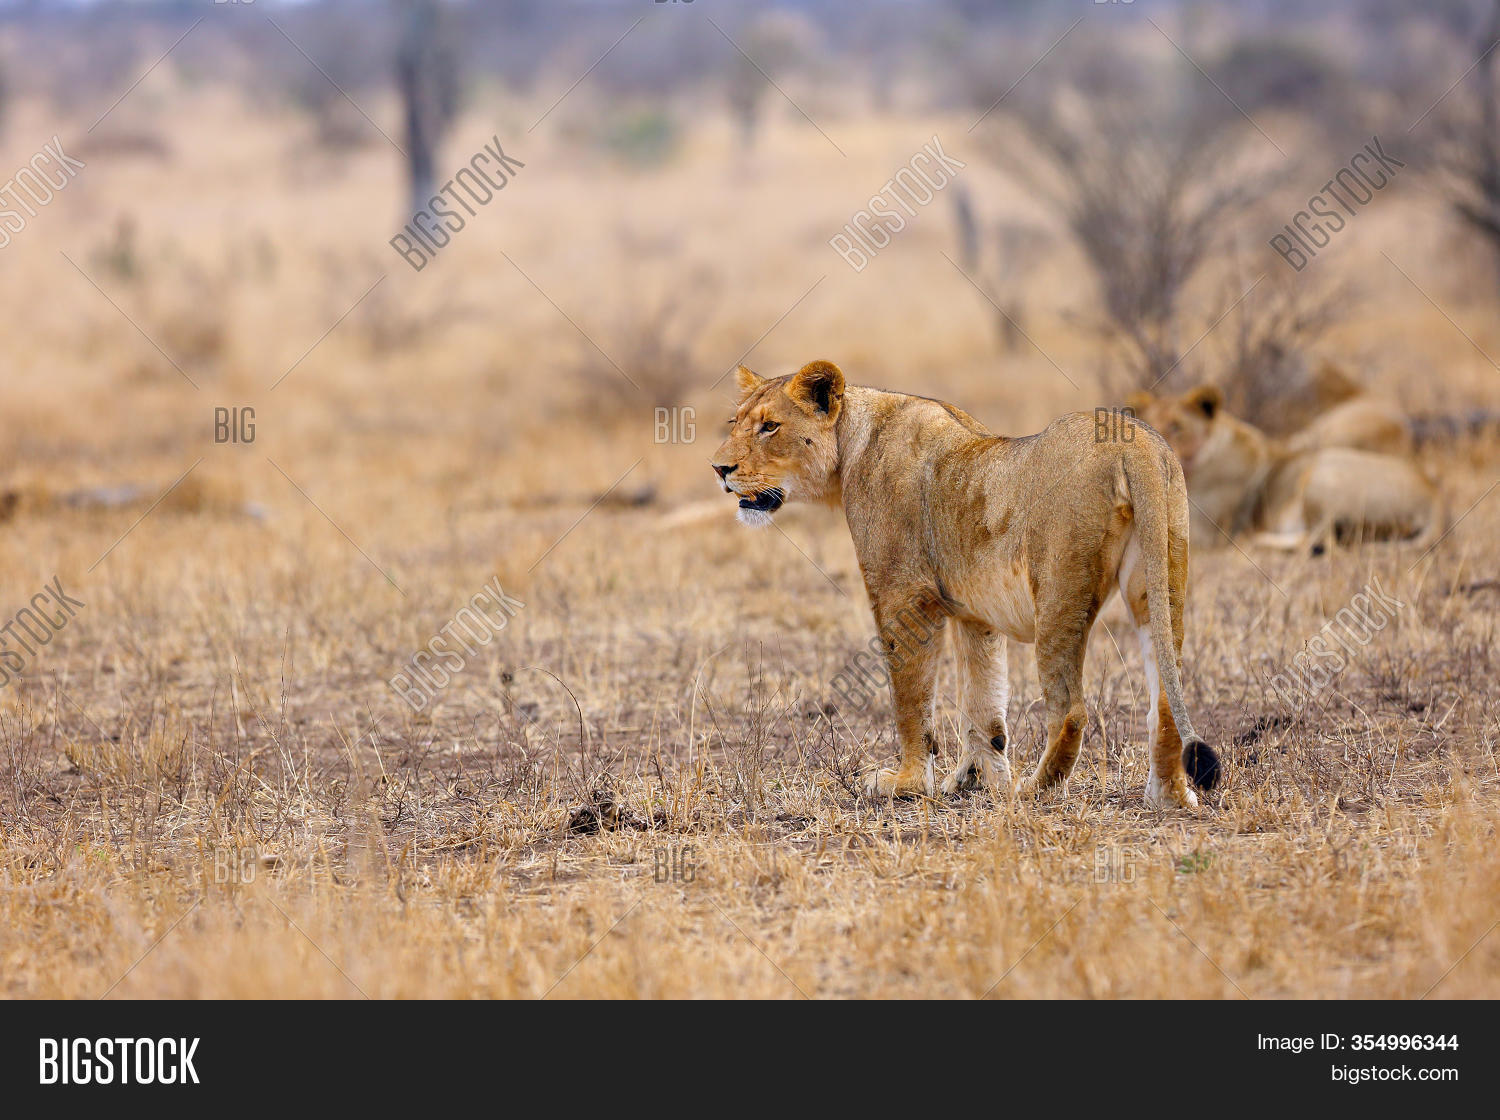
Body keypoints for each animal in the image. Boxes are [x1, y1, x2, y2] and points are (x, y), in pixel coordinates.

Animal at [711, 360, 1220, 808]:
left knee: (1071, 710)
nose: (719, 469)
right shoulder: (976, 614)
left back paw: (1033, 792)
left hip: (1059, 591)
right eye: (735, 422)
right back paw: (1170, 797)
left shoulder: (903, 594)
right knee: (1165, 698)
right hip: (1158, 581)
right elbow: (983, 707)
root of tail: (1134, 443)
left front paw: (906, 783)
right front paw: (976, 780)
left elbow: (911, 699)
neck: (850, 446)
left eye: (770, 426)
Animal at [1127, 385, 1440, 552]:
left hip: (1320, 473)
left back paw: (1255, 540)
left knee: (1319, 541)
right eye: (1148, 422)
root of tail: (1434, 497)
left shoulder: (1202, 531)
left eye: (1177, 426)